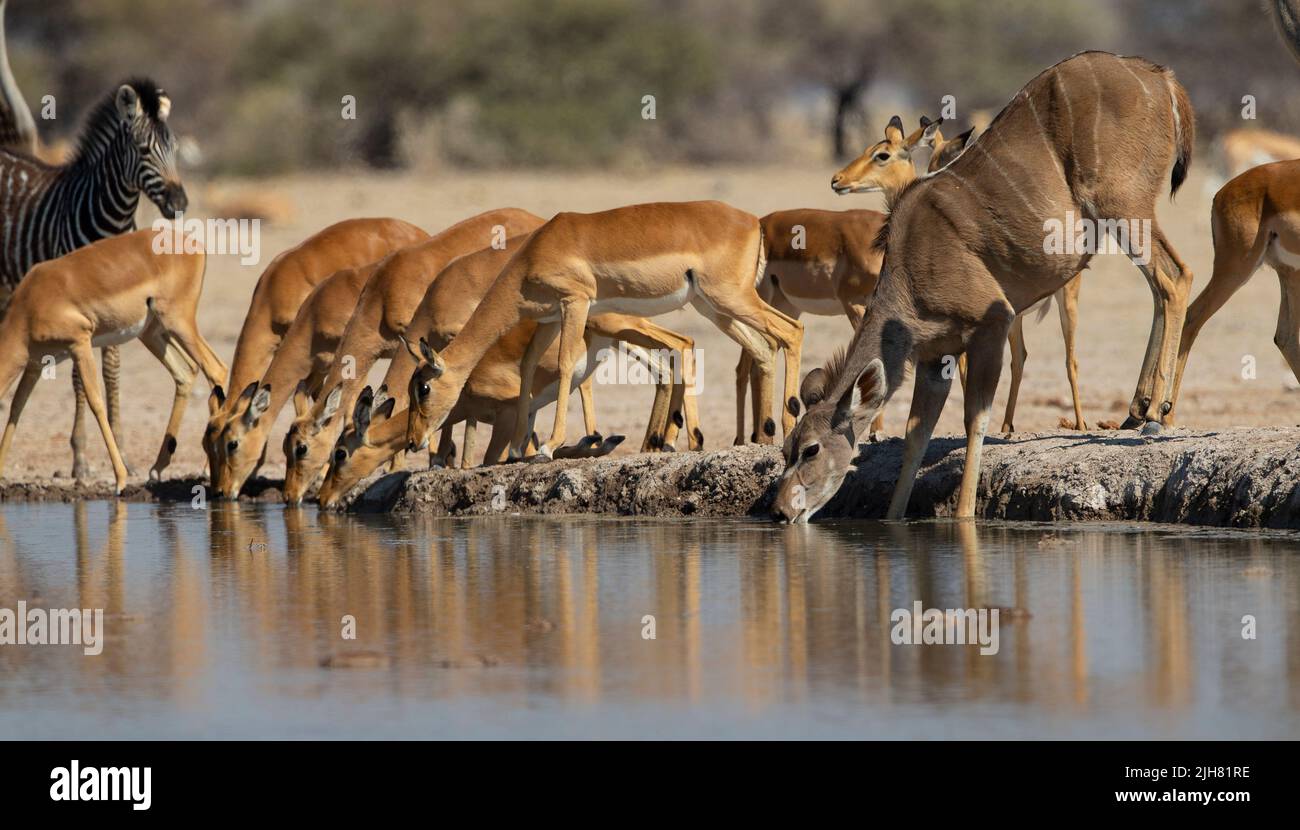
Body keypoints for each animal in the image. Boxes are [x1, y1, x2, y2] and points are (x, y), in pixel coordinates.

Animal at [0, 229, 227, 492]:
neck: (29, 305)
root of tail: (196, 246)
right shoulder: (35, 364)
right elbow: (17, 407)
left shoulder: (80, 343)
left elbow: (95, 402)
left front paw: (120, 479)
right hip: (151, 332)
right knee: (186, 372)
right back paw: (157, 467)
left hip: (178, 321)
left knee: (216, 369)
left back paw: (206, 469)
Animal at [403, 201, 803, 462]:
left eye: (423, 388)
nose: (412, 442)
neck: (537, 251)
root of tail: (754, 222)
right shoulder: (548, 319)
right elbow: (529, 367)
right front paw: (517, 448)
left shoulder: (575, 303)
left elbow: (565, 364)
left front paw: (548, 446)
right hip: (715, 307)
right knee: (764, 347)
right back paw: (764, 437)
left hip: (730, 298)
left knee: (792, 330)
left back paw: (787, 422)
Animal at [835, 115, 1089, 433]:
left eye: (882, 154)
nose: (837, 180)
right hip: (1015, 317)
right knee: (1020, 358)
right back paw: (1006, 428)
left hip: (1066, 302)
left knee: (1071, 360)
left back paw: (1080, 424)